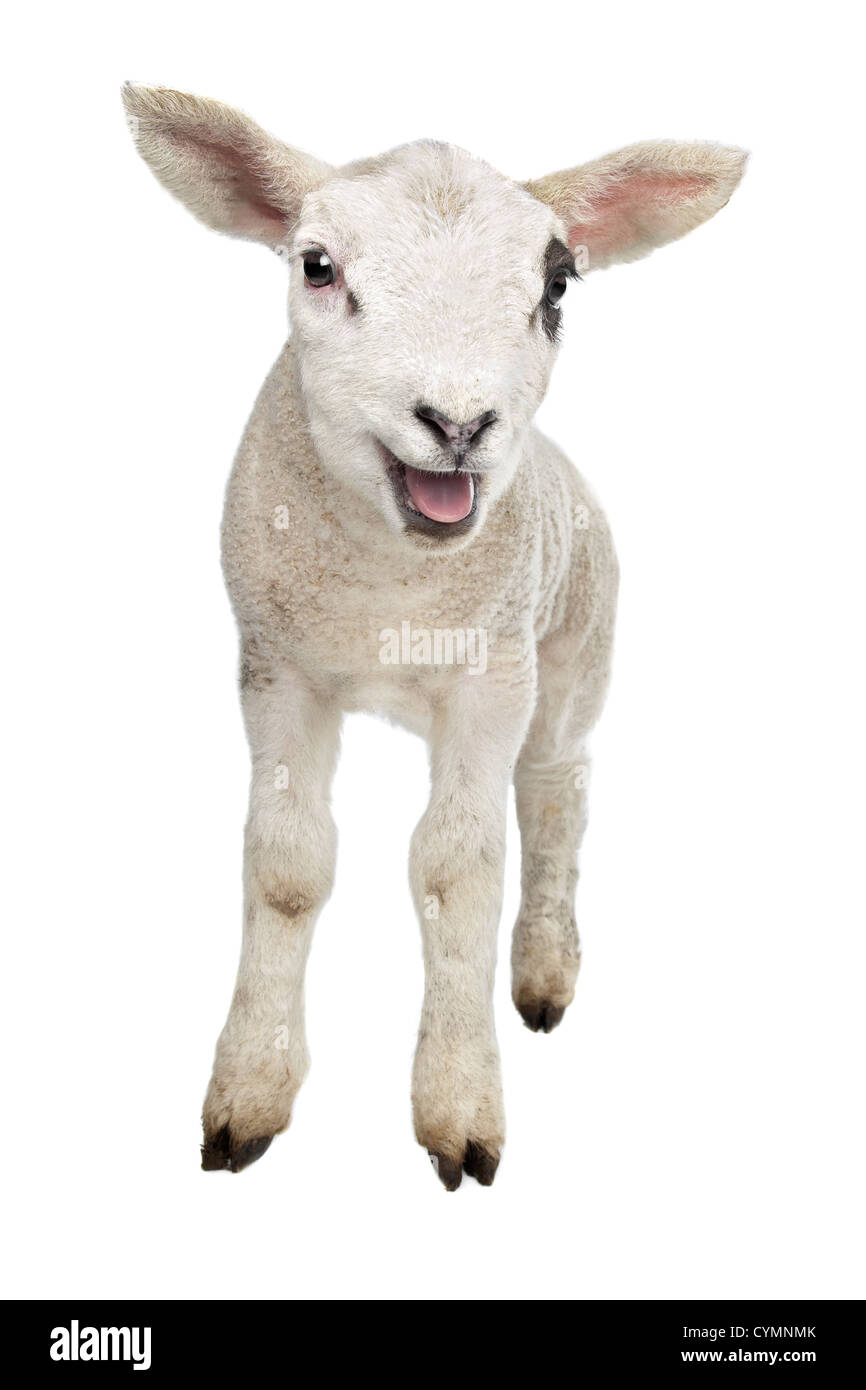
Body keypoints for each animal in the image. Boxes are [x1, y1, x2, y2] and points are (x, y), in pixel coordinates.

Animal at [123, 84, 746, 1189]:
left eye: (556, 285)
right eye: (316, 265)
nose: (458, 424)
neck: (389, 584)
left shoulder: (490, 681)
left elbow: (459, 870)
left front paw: (458, 1105)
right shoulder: (275, 667)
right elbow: (285, 865)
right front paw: (249, 1089)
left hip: (570, 654)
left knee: (555, 795)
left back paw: (543, 967)